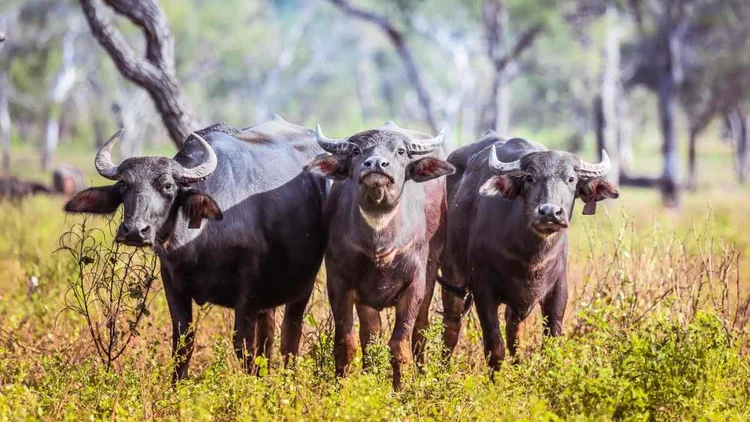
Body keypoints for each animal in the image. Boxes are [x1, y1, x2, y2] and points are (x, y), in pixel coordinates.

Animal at [65, 117, 328, 381]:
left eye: (168, 186)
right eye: (123, 185)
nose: (135, 231)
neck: (198, 242)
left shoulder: (248, 293)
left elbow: (242, 346)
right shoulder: (172, 284)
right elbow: (183, 344)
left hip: (303, 286)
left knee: (290, 334)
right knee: (269, 335)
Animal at [304, 122, 454, 390]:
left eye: (401, 151)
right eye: (356, 151)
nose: (375, 164)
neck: (379, 244)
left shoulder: (415, 284)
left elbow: (399, 346)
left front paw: (400, 390)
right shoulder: (339, 282)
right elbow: (347, 343)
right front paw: (341, 390)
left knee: (420, 332)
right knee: (370, 336)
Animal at [440, 132, 618, 374]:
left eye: (571, 179)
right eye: (529, 178)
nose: (550, 212)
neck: (529, 256)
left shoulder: (558, 290)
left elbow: (551, 345)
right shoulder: (483, 290)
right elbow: (495, 348)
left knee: (514, 332)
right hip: (452, 275)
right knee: (451, 325)